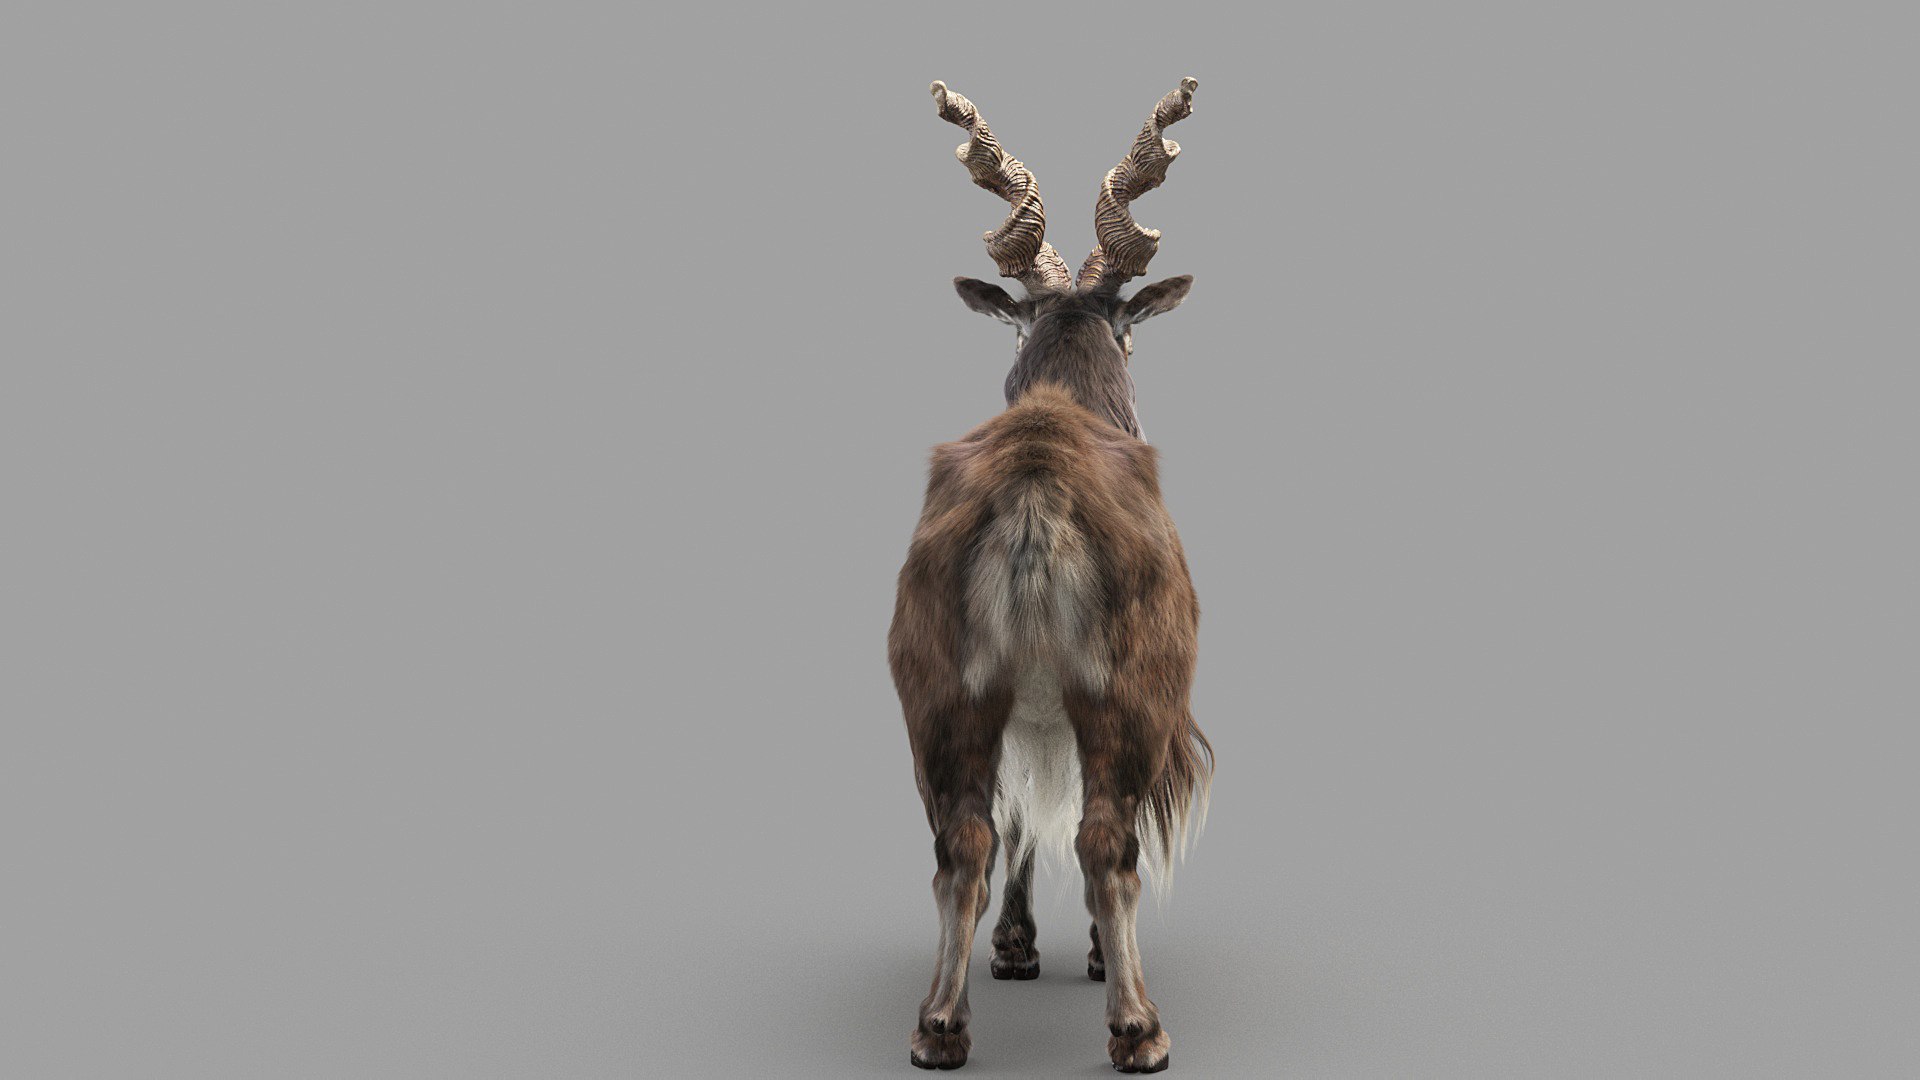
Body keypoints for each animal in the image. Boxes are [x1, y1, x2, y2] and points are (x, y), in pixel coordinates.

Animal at [890, 78, 1214, 1074]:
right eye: (1130, 335)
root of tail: (1035, 488)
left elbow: (1016, 817)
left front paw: (1015, 948)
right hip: (1129, 689)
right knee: (1107, 837)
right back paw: (1139, 1028)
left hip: (938, 689)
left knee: (962, 838)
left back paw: (939, 1027)